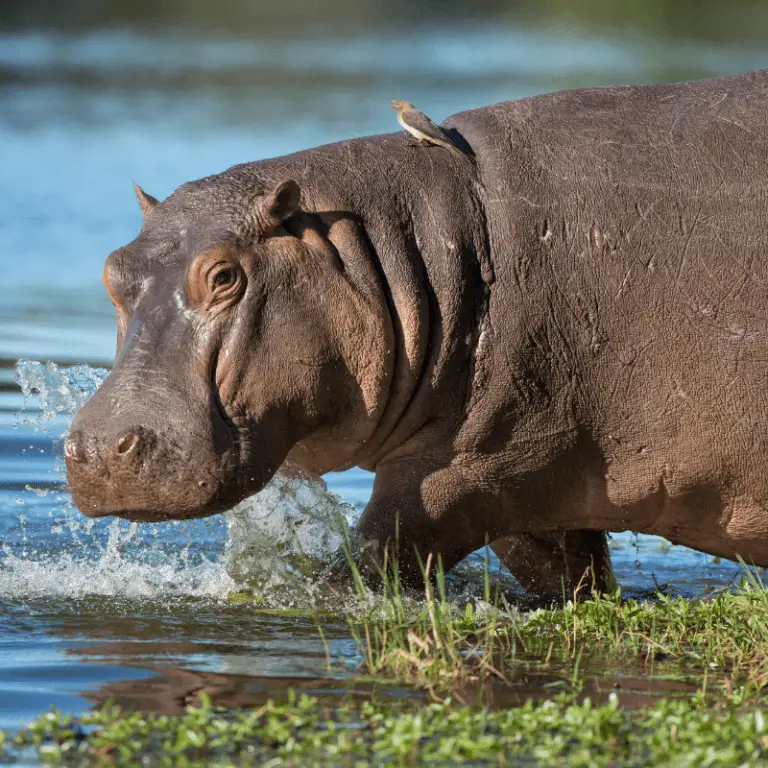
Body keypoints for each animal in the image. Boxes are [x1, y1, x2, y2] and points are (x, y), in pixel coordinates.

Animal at [66, 69, 768, 598]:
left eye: (224, 275)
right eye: (112, 270)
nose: (99, 446)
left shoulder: (468, 470)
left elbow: (368, 561)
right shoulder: (533, 485)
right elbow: (571, 574)